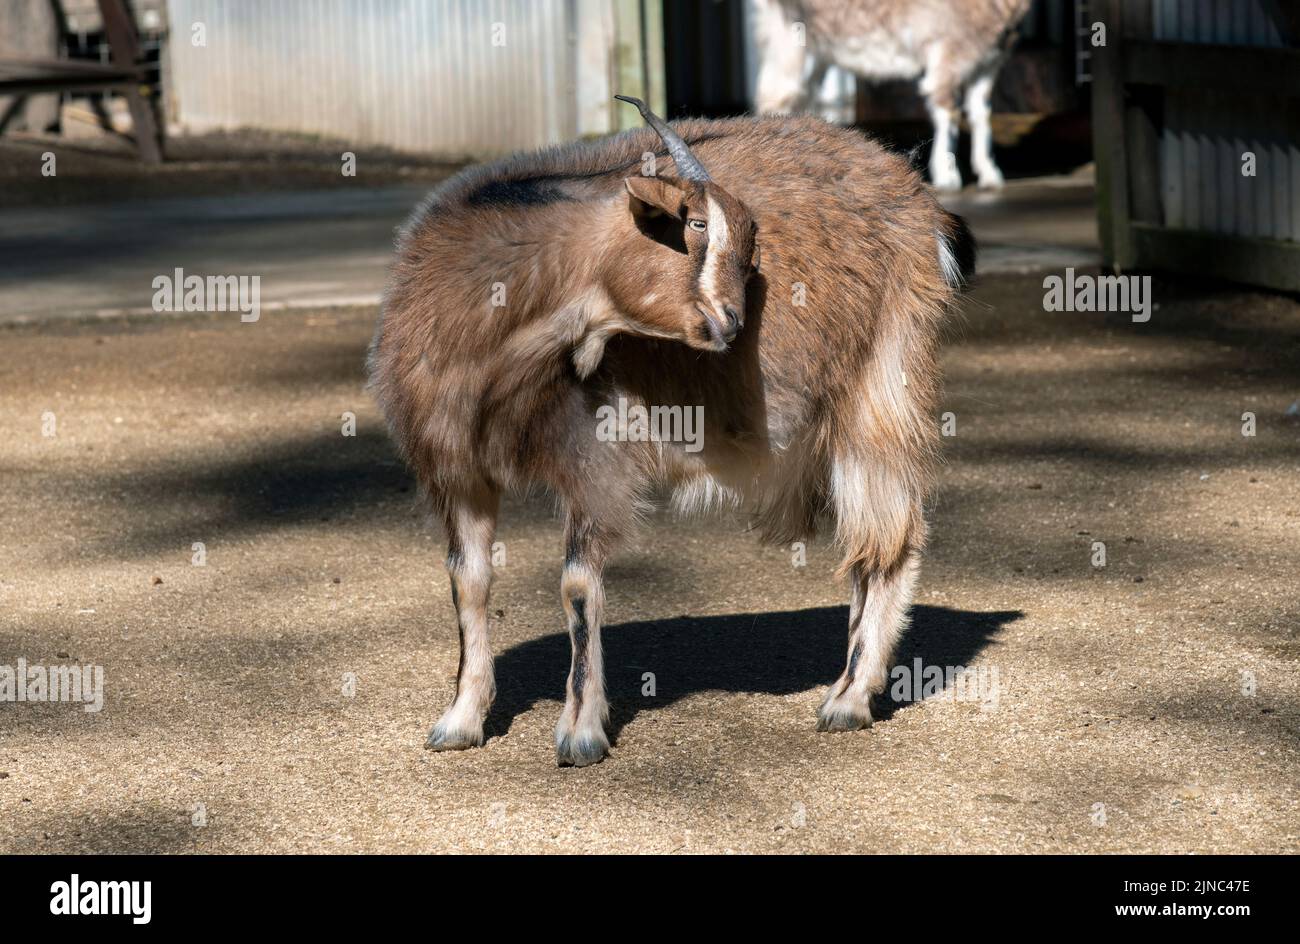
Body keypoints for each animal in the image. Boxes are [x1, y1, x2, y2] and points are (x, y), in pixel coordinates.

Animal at [368, 97, 975, 767]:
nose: (732, 321)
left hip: (878, 385)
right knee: (869, 547)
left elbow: (577, 584)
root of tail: (915, 194)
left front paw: (581, 730)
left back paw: (849, 697)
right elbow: (468, 582)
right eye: (694, 225)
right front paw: (461, 718)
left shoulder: (592, 458)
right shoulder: (455, 468)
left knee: (891, 537)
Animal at [751, 0, 1033, 190]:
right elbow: (948, 112)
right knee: (777, 97)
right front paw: (948, 177)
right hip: (790, 36)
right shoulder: (948, 50)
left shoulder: (987, 62)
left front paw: (990, 175)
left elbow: (980, 114)